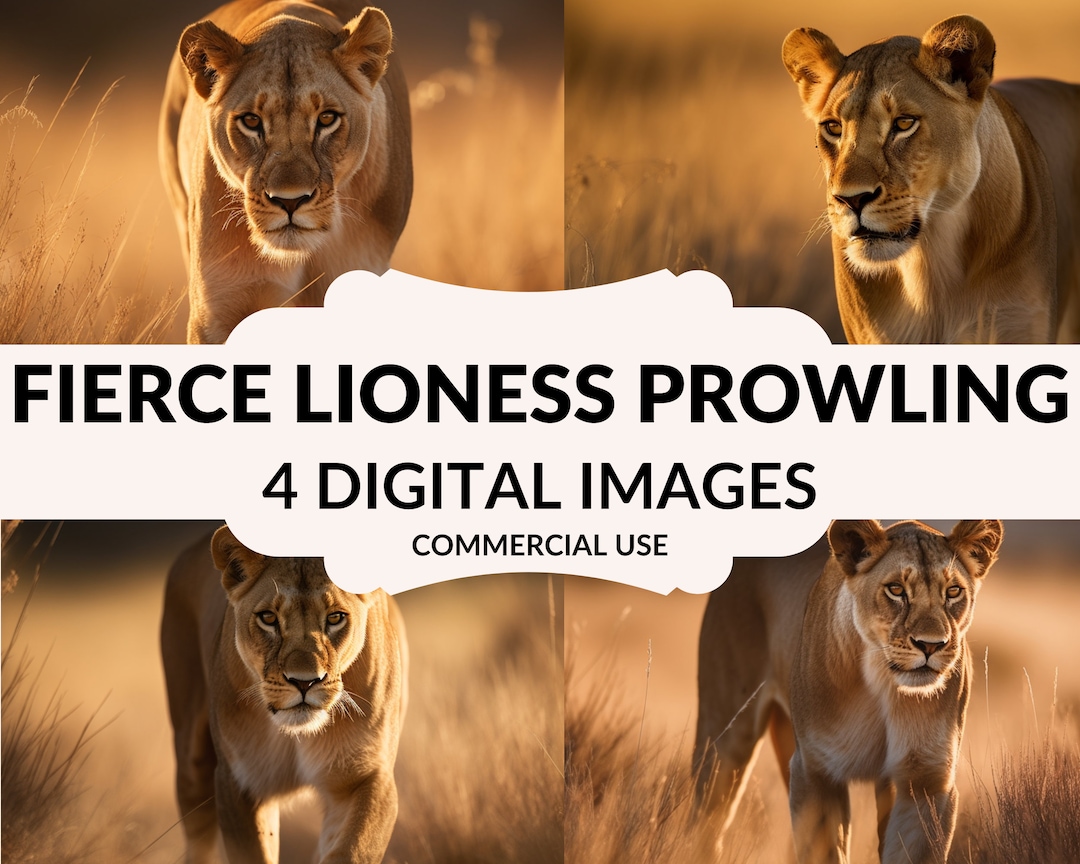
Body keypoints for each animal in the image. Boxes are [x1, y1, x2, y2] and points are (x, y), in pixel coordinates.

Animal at [161, 526, 408, 863]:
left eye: (335, 618)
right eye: (268, 618)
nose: (304, 682)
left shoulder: (367, 775)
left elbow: (352, 850)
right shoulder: (239, 781)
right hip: (192, 760)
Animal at [694, 519, 1003, 864]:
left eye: (953, 592)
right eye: (896, 589)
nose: (930, 645)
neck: (883, 685)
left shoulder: (927, 782)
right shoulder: (816, 771)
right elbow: (826, 851)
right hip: (727, 736)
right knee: (706, 820)